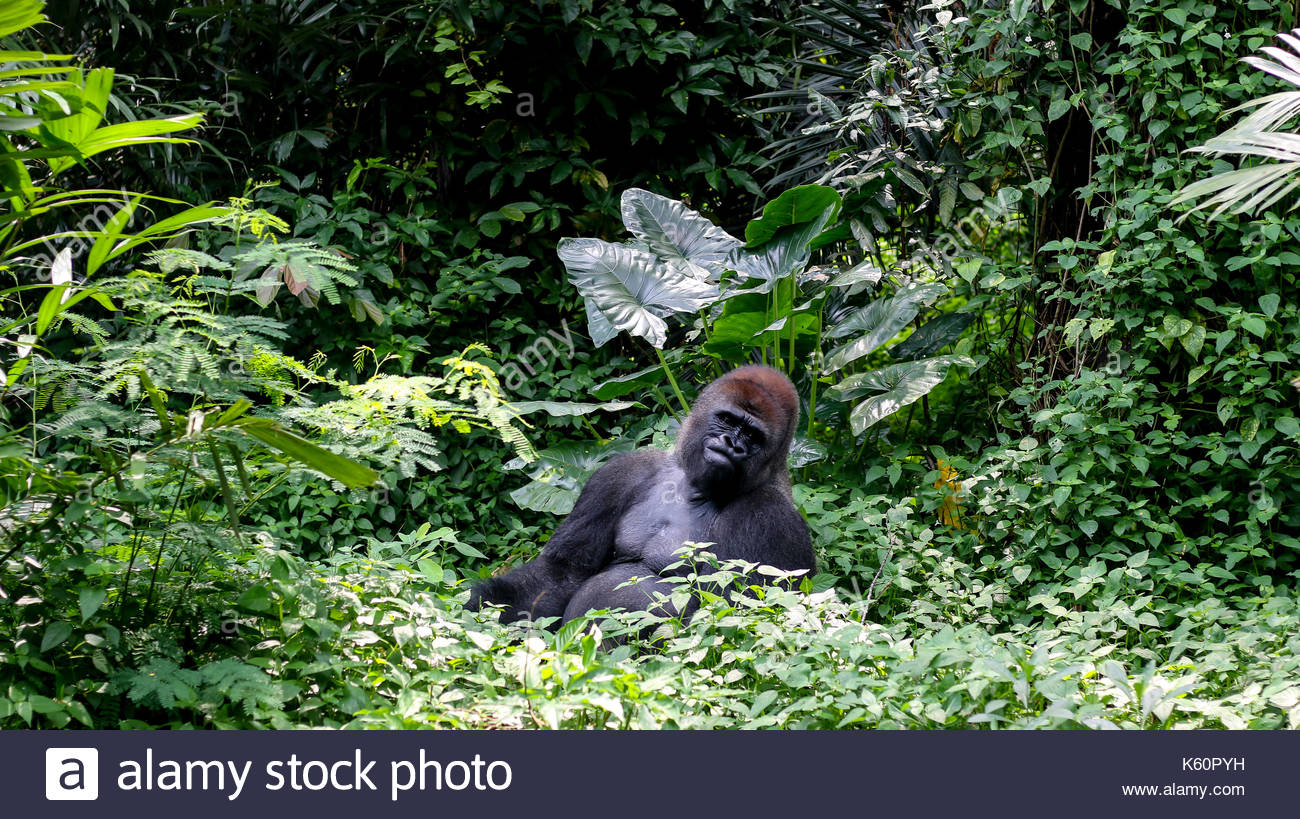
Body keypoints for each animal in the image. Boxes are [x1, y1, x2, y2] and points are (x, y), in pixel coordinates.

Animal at [467, 364, 814, 628]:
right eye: (727, 419)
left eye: (753, 437)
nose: (732, 444)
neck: (695, 485)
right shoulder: (620, 474)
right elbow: (560, 574)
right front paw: (478, 608)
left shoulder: (769, 516)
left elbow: (740, 612)